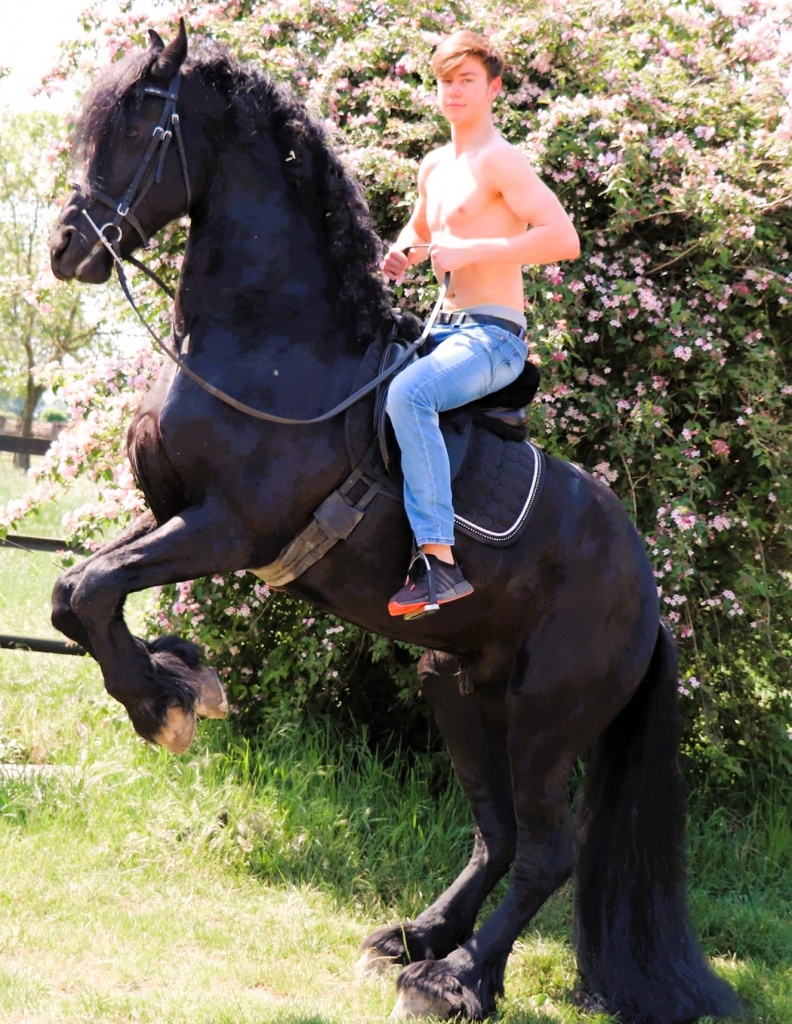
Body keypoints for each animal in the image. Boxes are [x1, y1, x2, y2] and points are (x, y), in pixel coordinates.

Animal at [48, 22, 741, 1023]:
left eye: (142, 125)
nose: (67, 247)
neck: (276, 346)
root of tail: (649, 603)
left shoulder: (228, 530)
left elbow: (94, 587)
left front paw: (162, 705)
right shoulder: (173, 515)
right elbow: (76, 593)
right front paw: (182, 675)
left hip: (547, 714)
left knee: (544, 852)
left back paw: (457, 980)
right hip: (457, 686)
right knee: (496, 835)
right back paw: (417, 939)